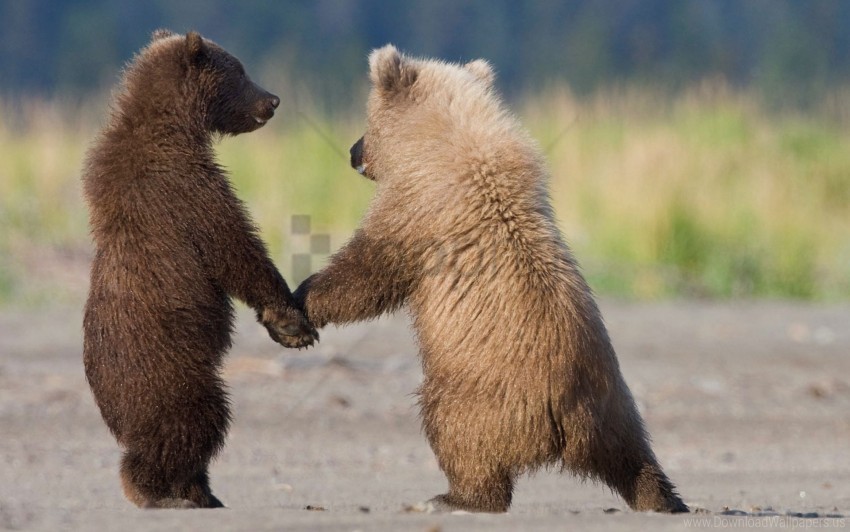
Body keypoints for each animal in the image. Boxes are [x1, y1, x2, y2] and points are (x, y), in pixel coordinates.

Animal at [82, 29, 317, 509]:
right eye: (241, 71)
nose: (273, 99)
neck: (176, 125)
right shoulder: (184, 186)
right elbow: (232, 246)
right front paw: (289, 321)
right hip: (171, 372)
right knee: (195, 421)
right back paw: (166, 490)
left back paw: (200, 490)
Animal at [294, 45, 688, 514]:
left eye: (367, 120)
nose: (353, 151)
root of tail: (569, 419)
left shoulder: (420, 210)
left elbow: (370, 271)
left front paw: (302, 298)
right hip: (616, 405)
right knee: (633, 456)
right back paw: (664, 499)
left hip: (482, 394)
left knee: (456, 433)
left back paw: (455, 496)